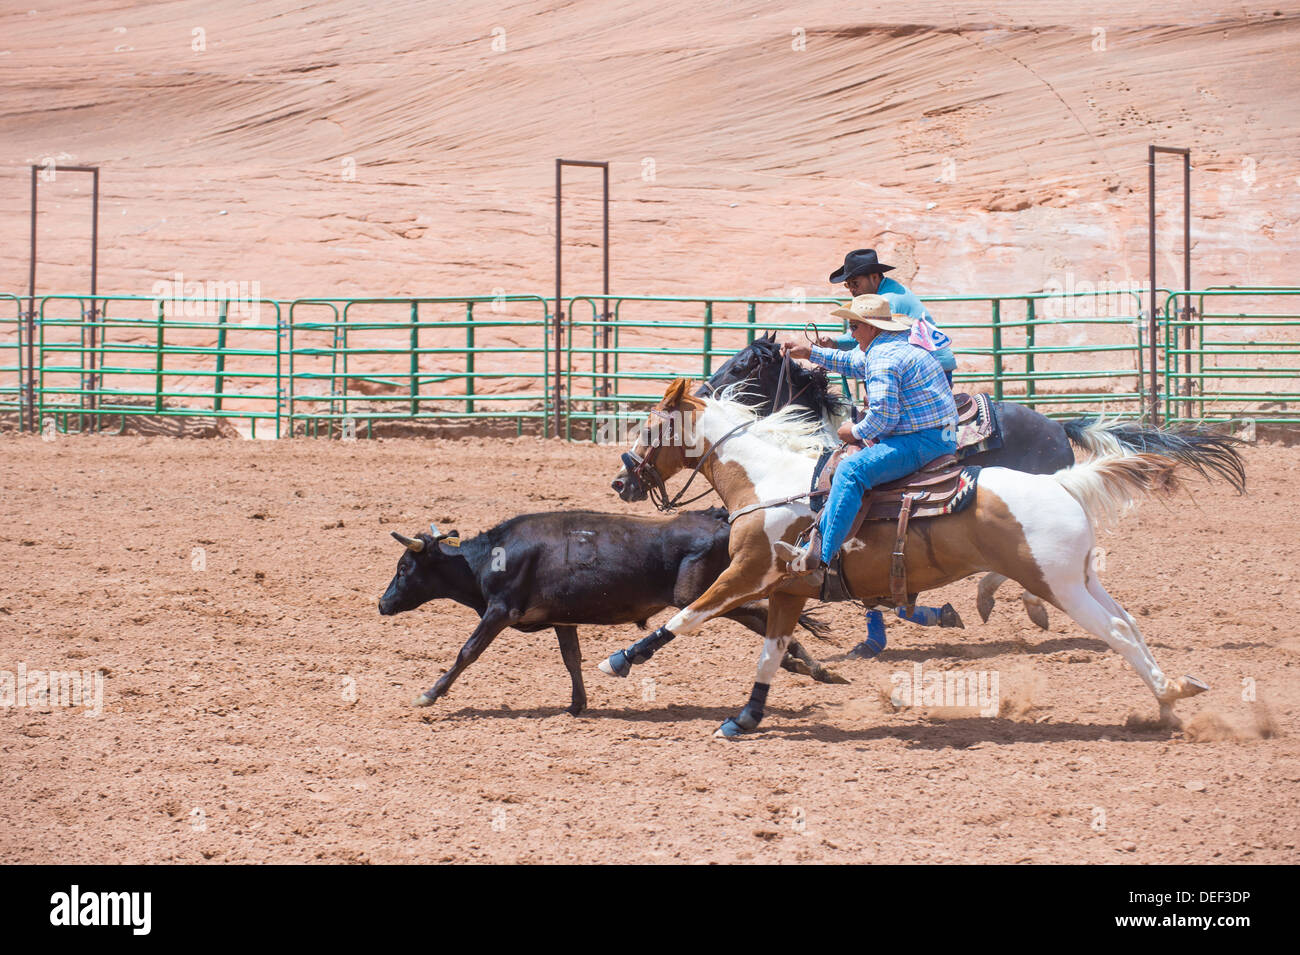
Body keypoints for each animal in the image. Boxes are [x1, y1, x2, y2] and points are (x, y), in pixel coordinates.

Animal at [378, 507, 843, 715]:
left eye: (403, 568)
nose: (382, 604)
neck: (489, 557)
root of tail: (720, 520)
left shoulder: (499, 612)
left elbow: (467, 652)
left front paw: (431, 693)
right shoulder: (561, 619)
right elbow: (571, 659)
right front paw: (577, 704)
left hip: (697, 596)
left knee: (760, 614)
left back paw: (807, 665)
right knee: (765, 617)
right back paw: (812, 667)